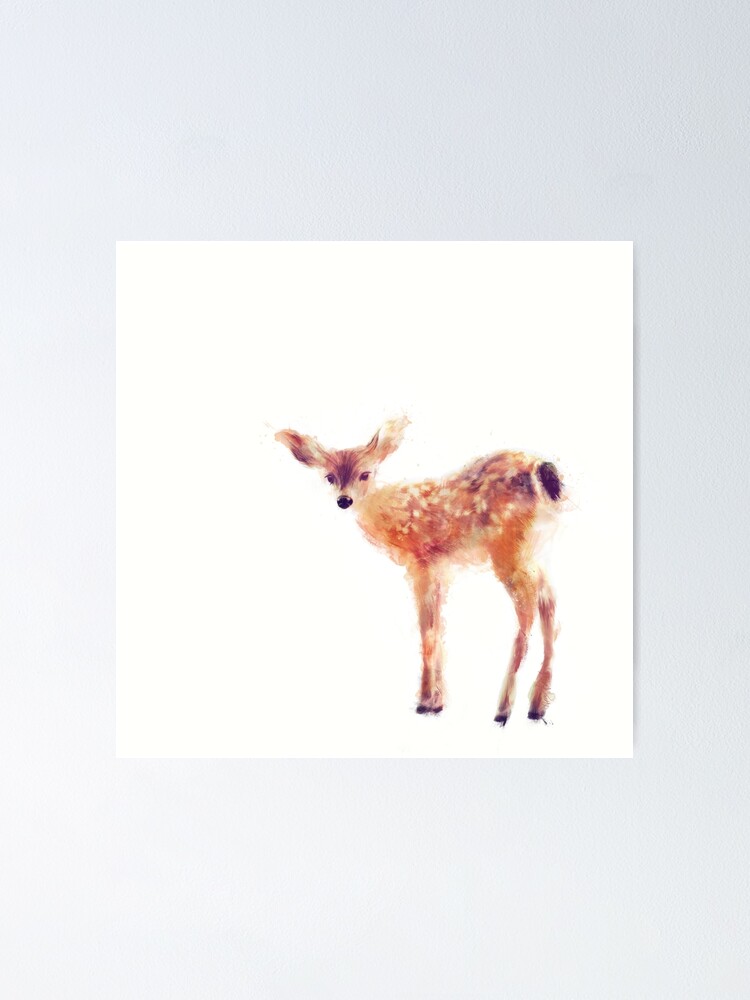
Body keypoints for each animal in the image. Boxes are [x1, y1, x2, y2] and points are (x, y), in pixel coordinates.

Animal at [275, 416, 564, 725]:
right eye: (330, 476)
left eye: (365, 474)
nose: (344, 500)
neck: (394, 516)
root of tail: (543, 470)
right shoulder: (439, 570)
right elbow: (437, 627)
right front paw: (438, 701)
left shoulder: (421, 563)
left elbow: (426, 630)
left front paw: (425, 702)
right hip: (535, 550)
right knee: (548, 600)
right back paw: (536, 705)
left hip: (507, 548)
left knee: (527, 608)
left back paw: (503, 708)